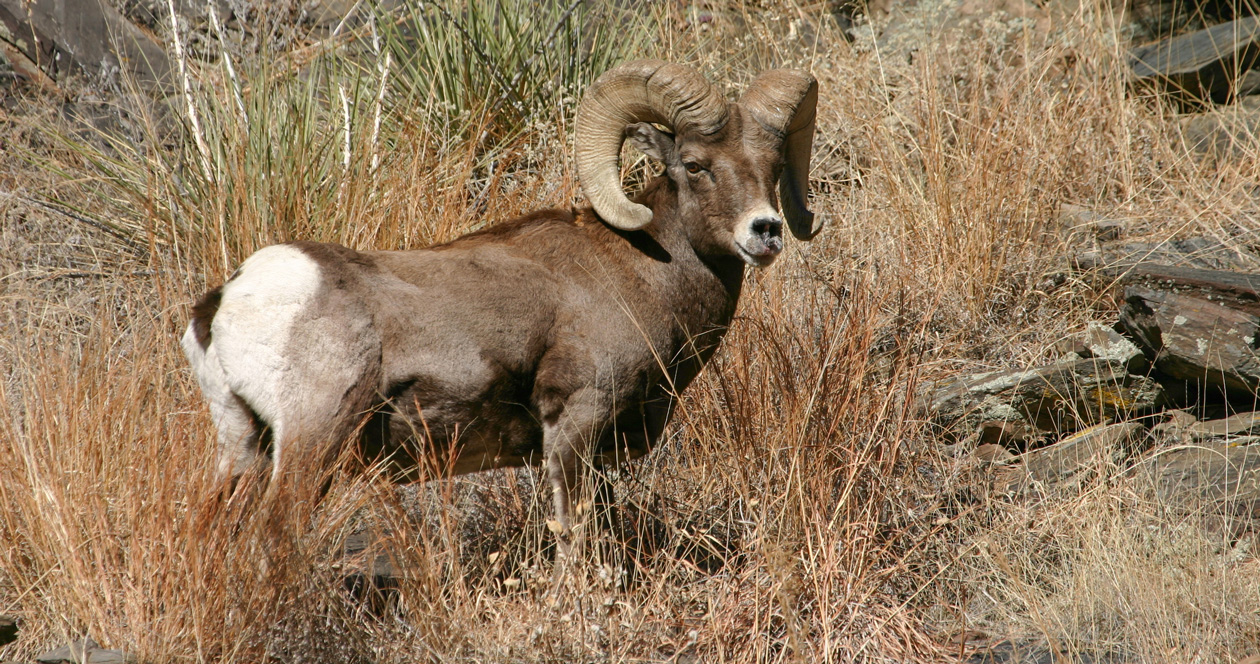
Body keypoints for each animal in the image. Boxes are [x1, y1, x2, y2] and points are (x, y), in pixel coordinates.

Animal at [182, 60, 821, 541]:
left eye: (770, 167)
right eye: (694, 166)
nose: (766, 231)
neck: (645, 270)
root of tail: (227, 301)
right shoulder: (574, 422)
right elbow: (575, 535)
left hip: (243, 446)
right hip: (311, 445)